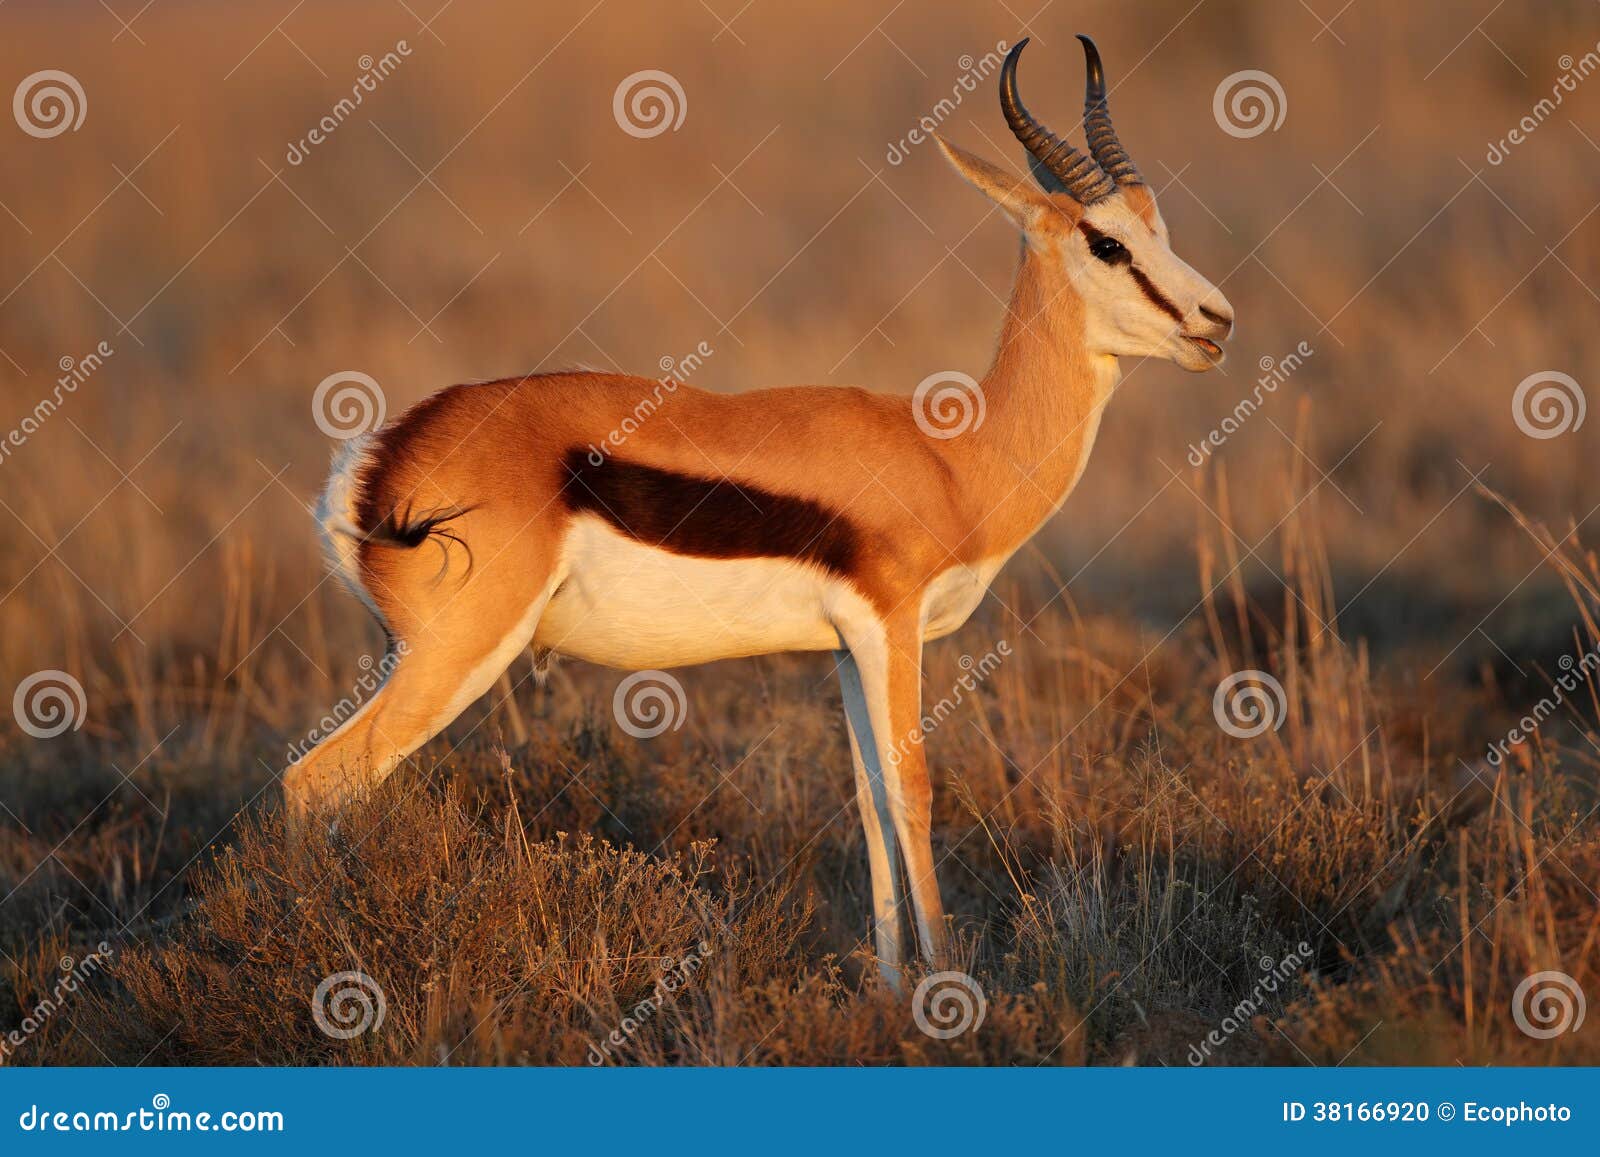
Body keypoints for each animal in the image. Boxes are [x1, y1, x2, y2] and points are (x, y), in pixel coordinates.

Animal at [286, 36, 1233, 981]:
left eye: (1159, 225)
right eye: (1106, 242)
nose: (1215, 318)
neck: (956, 456)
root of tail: (380, 454)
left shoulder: (849, 646)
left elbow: (869, 797)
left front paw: (889, 988)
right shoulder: (890, 628)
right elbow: (914, 790)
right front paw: (947, 989)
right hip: (460, 650)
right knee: (318, 781)